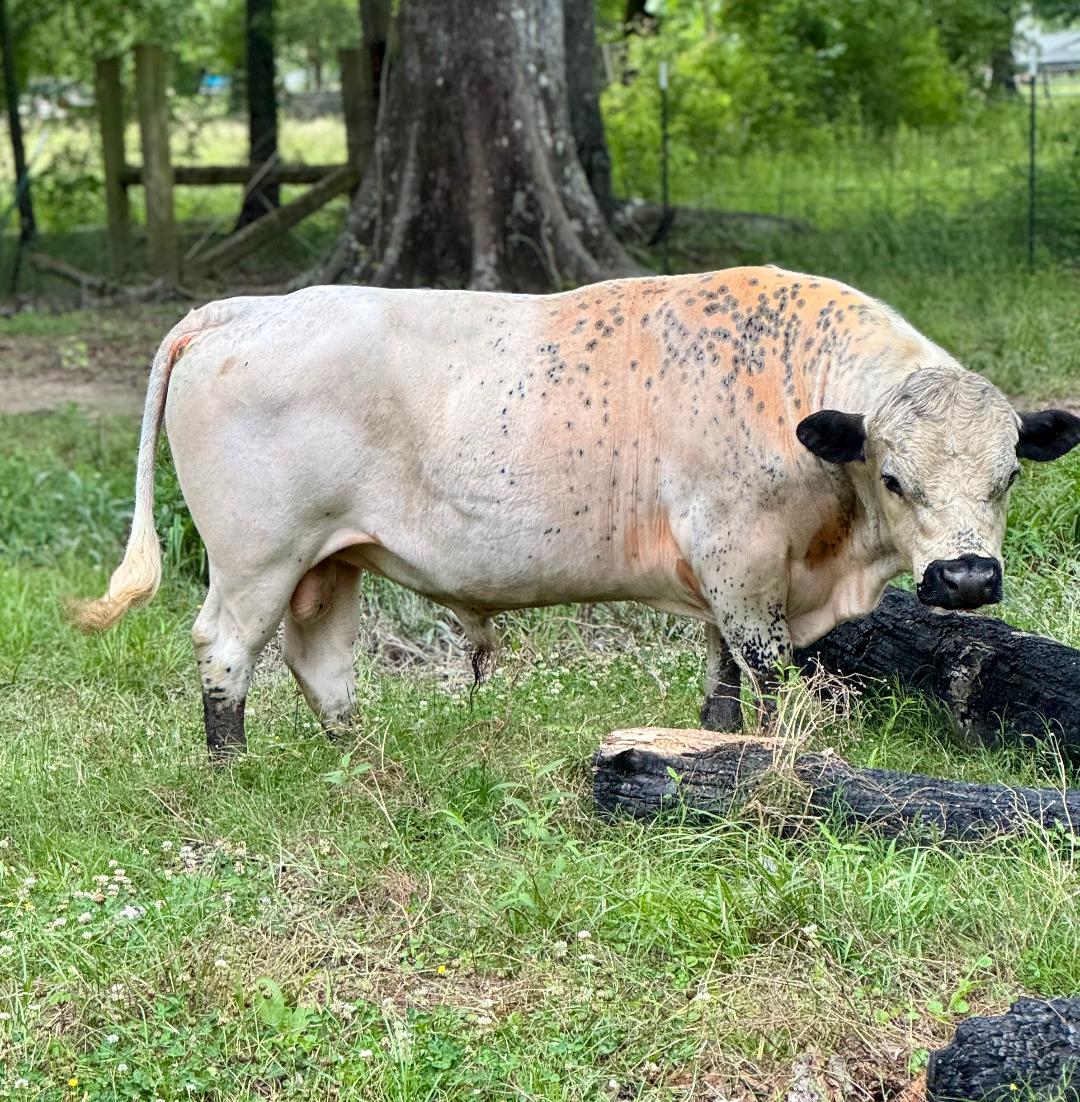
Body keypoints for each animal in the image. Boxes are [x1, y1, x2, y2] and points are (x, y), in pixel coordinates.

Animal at [69, 266, 1080, 755]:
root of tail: (242, 310)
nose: (966, 577)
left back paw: (359, 755)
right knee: (226, 650)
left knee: (320, 661)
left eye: (1008, 475)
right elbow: (771, 679)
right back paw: (230, 764)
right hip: (257, 558)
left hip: (327, 561)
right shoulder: (743, 562)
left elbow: (721, 685)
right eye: (896, 477)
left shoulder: (723, 577)